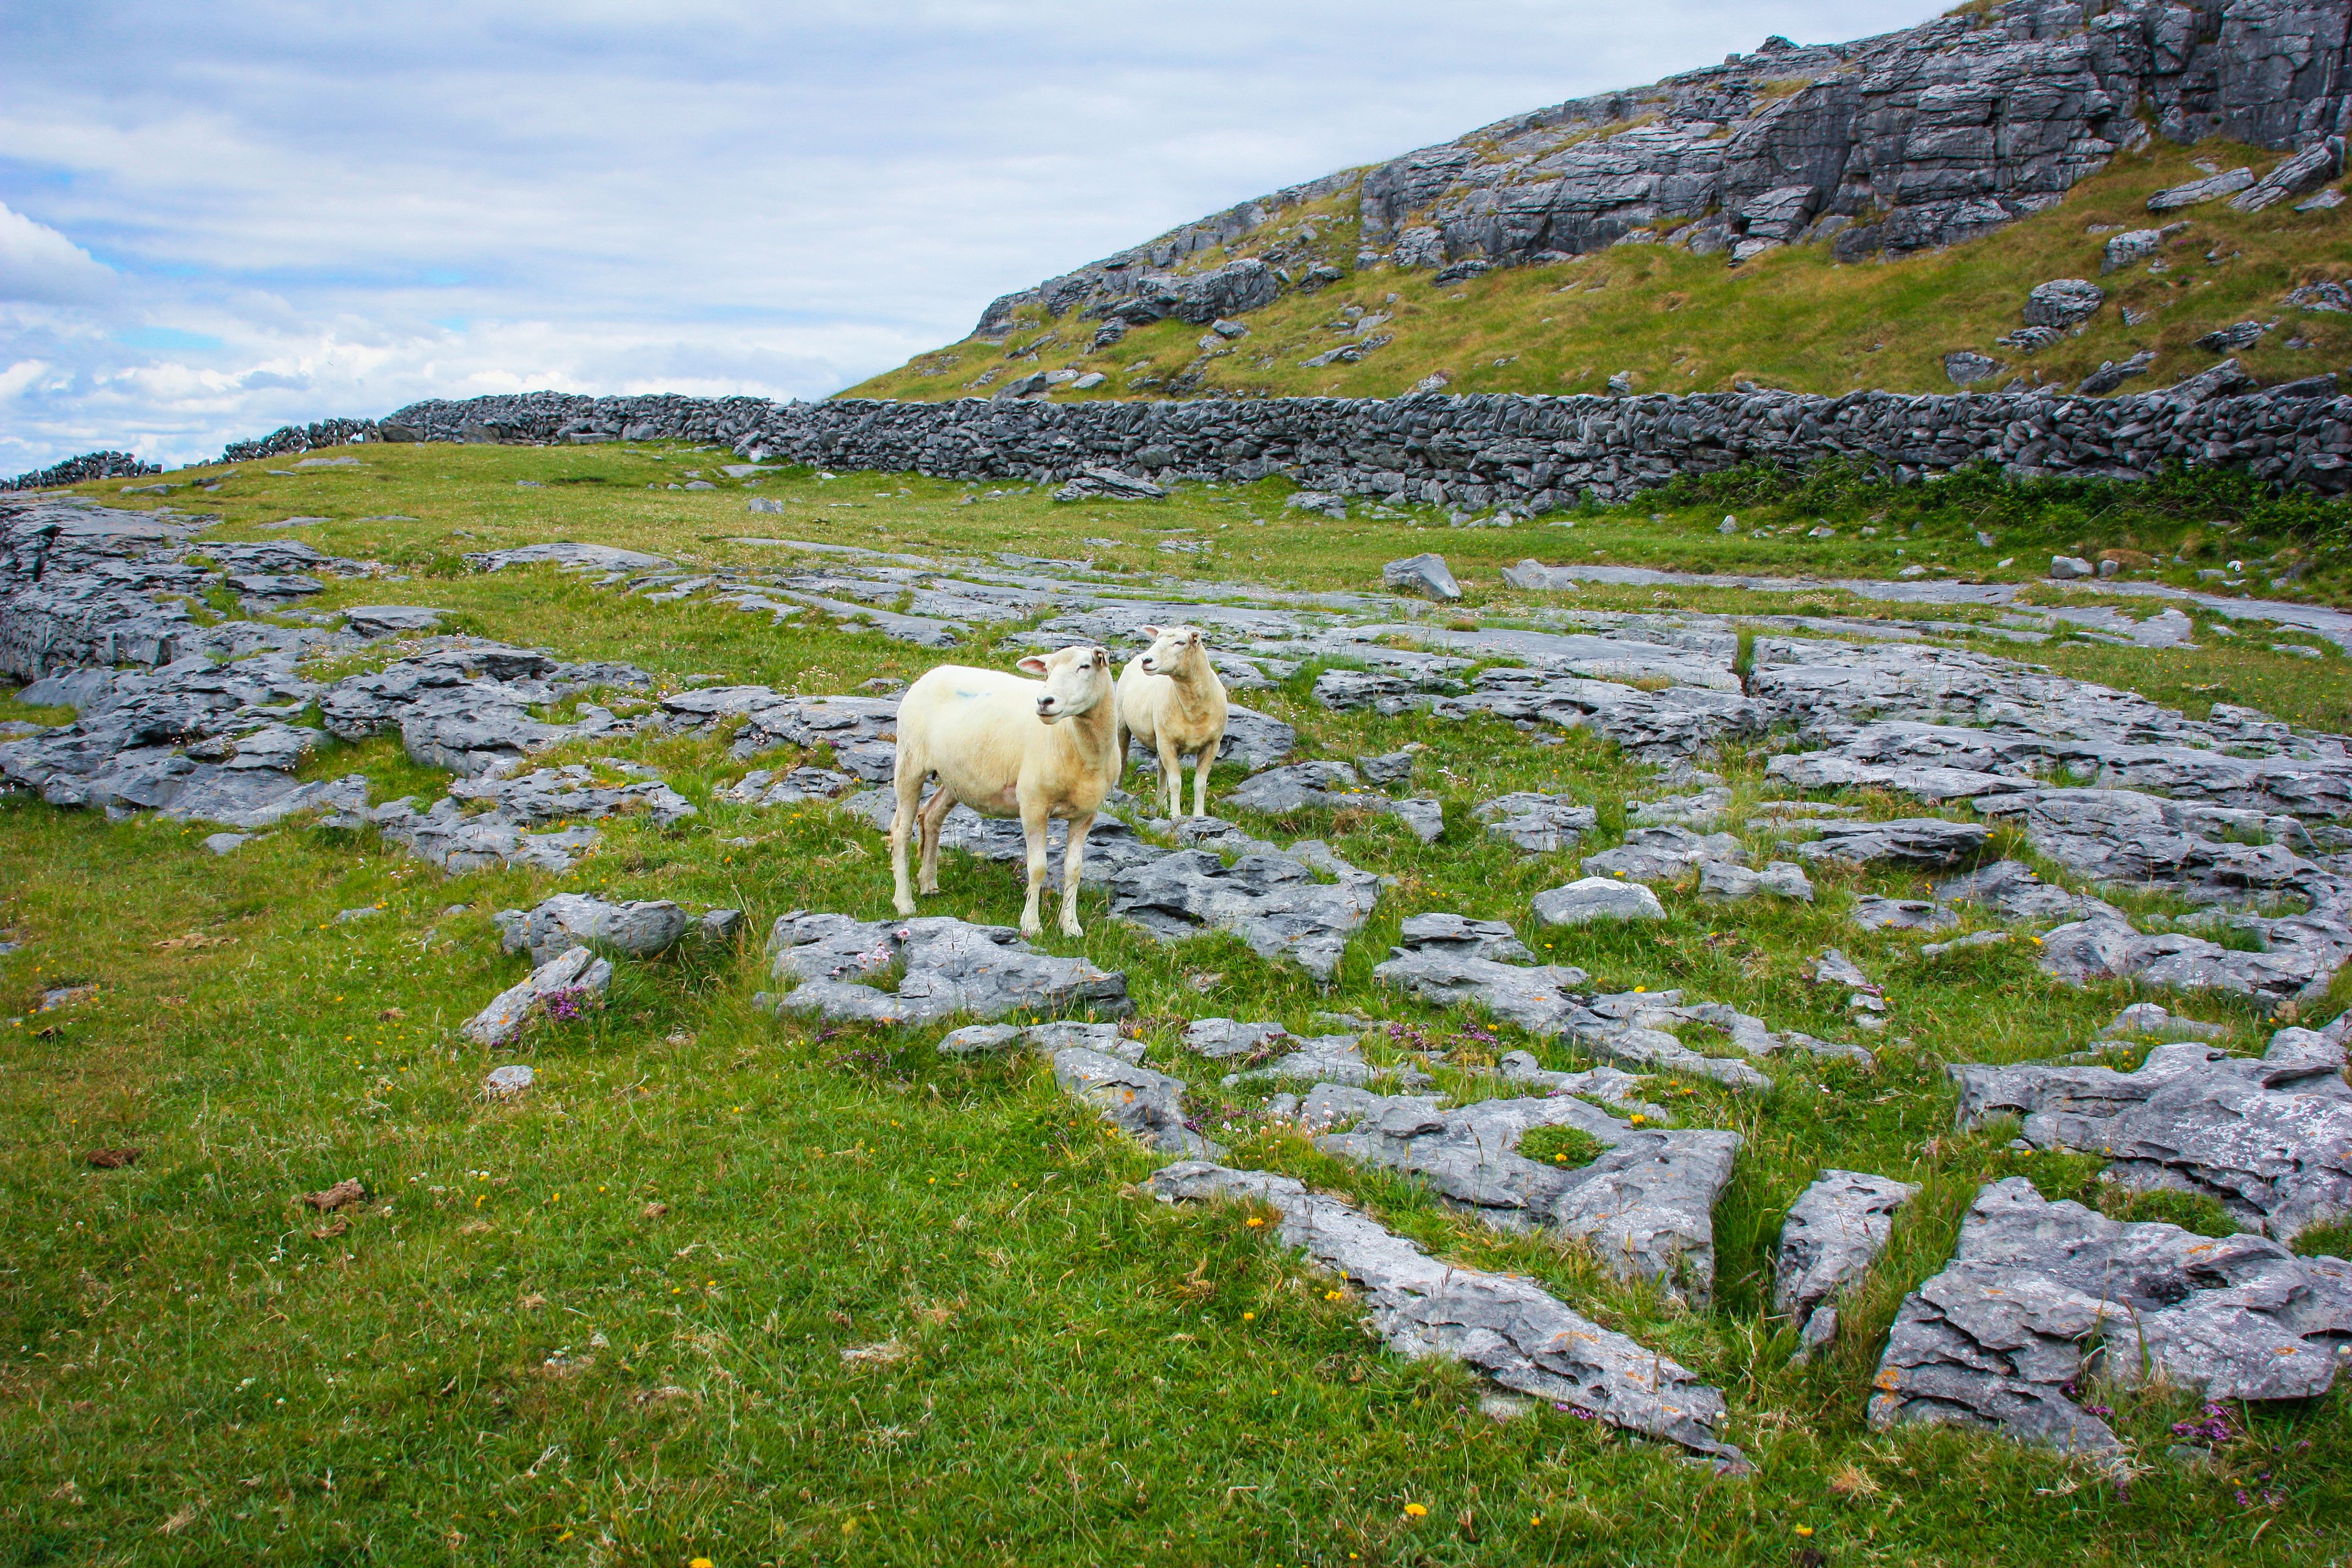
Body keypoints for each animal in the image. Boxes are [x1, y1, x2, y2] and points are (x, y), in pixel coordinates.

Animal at [889, 644, 1121, 938]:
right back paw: (904, 902)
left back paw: (929, 885)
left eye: (1085, 667)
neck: (1081, 747)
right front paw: (1031, 925)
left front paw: (1070, 926)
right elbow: (1037, 867)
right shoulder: (1034, 804)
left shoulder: (1086, 814)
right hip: (910, 762)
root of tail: (931, 674)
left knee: (931, 816)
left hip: (956, 777)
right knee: (901, 830)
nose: (1044, 702)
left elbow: (1074, 870)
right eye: (1047, 670)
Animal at [1115, 624, 1229, 819]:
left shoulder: (1212, 745)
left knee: (1162, 772)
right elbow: (1175, 782)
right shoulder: (1168, 742)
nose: (1147, 660)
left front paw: (1199, 816)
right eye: (1157, 640)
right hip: (1124, 726)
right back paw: (1117, 792)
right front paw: (1175, 815)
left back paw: (1159, 804)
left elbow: (1200, 784)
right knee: (1123, 761)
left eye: (1181, 643)